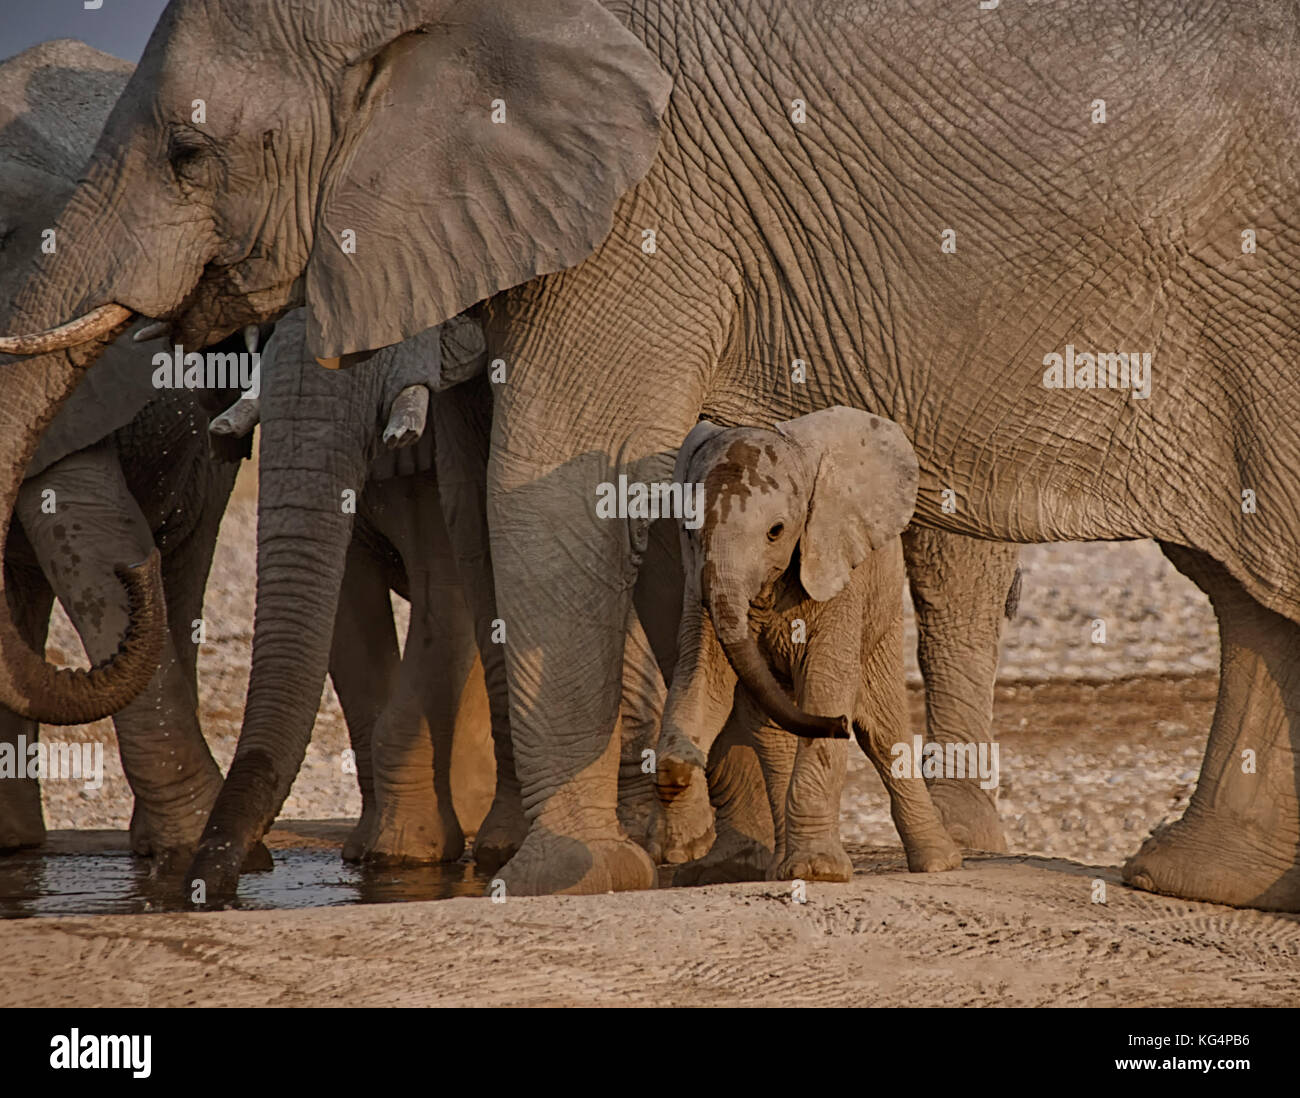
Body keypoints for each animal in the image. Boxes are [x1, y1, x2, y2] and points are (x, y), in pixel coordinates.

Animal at [656, 409, 965, 882]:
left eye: (776, 532)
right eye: (690, 531)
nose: (838, 725)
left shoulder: (838, 572)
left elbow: (825, 683)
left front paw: (820, 873)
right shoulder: (698, 583)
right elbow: (701, 679)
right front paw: (679, 814)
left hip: (883, 616)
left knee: (883, 729)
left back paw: (938, 863)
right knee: (774, 737)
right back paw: (780, 868)